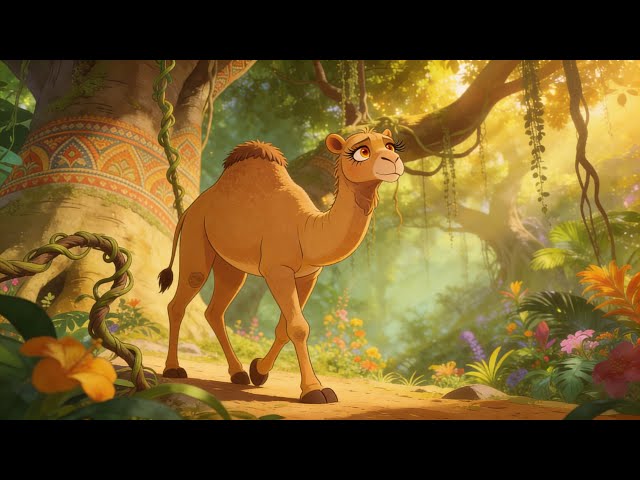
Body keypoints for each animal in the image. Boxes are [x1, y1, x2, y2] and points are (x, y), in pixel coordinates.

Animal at [158, 128, 404, 403]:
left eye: (391, 146)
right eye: (361, 151)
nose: (393, 162)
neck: (306, 228)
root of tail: (189, 209)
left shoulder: (308, 275)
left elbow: (284, 328)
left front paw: (258, 371)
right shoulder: (277, 270)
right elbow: (298, 327)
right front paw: (315, 390)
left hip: (230, 264)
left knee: (215, 310)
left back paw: (238, 373)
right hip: (195, 235)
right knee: (180, 300)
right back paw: (173, 369)